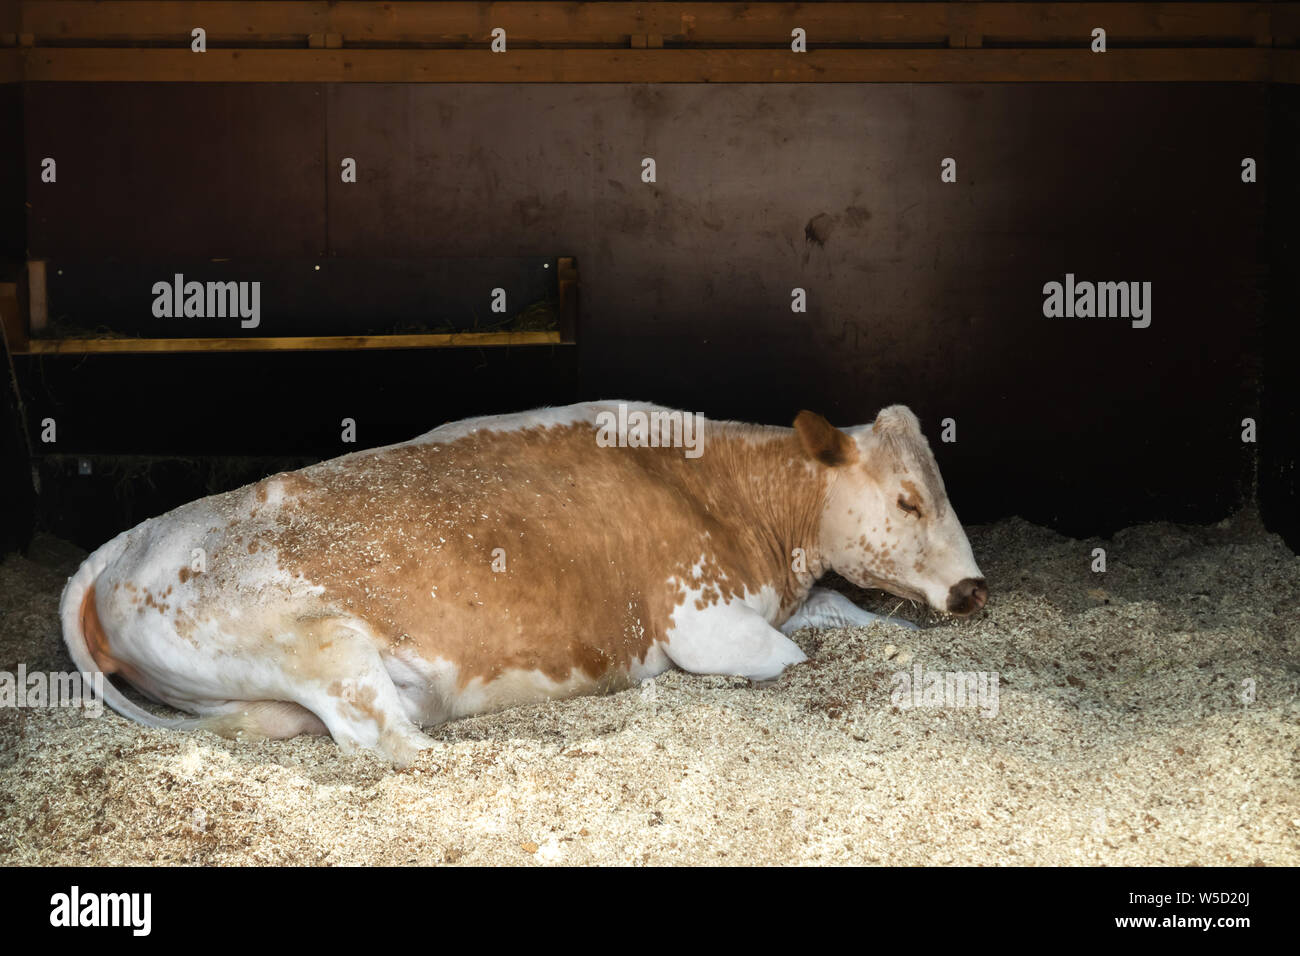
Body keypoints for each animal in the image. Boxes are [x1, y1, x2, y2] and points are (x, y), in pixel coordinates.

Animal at [60, 401, 986, 763]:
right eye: (907, 499)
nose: (975, 590)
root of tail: (132, 539)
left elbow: (848, 616)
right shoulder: (703, 623)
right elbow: (796, 659)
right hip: (321, 644)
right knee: (387, 739)